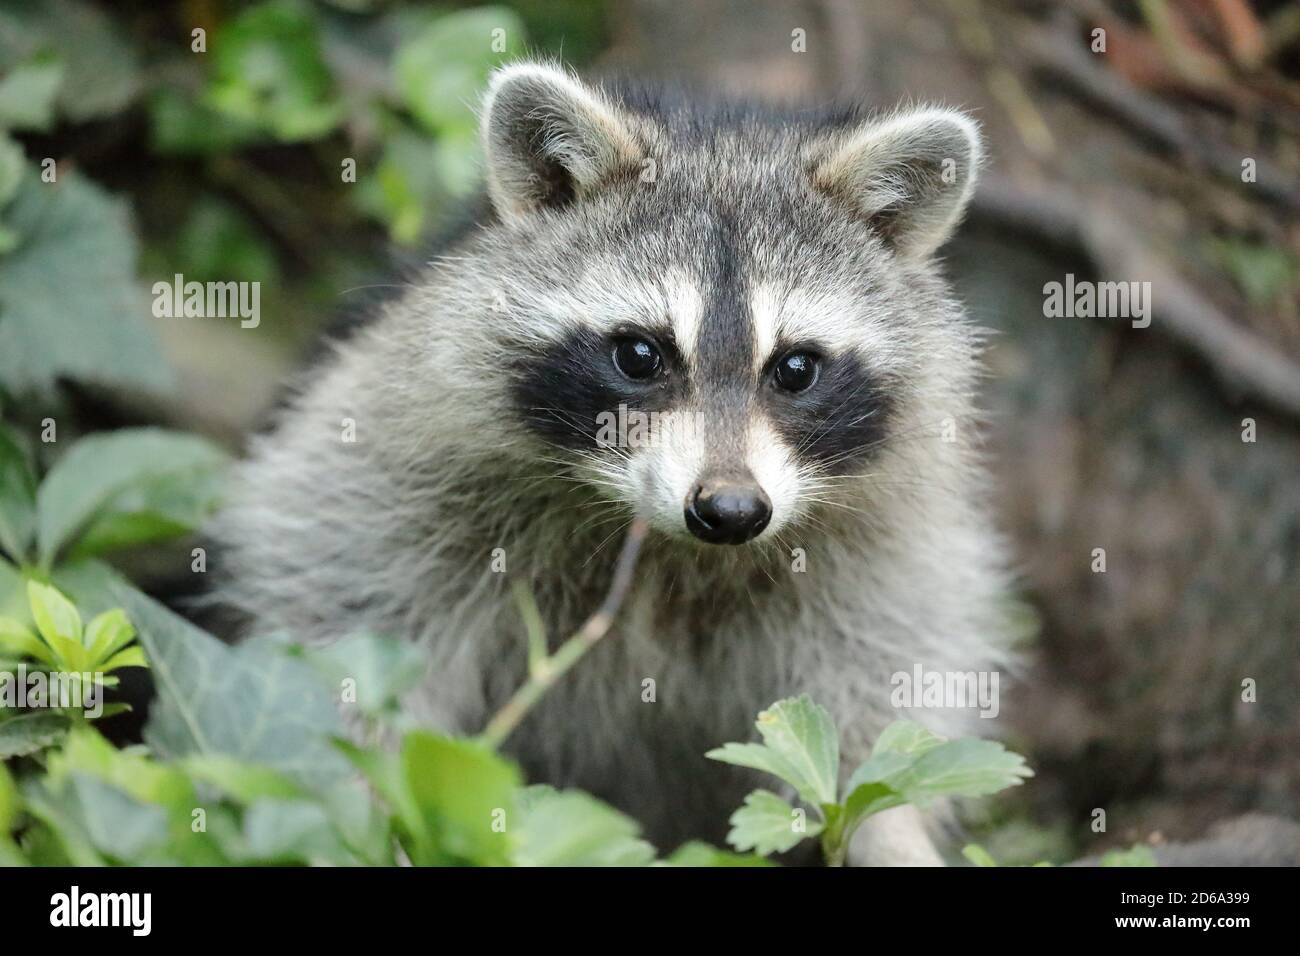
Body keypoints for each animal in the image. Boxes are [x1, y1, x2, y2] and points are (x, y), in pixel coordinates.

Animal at [209, 62, 1013, 864]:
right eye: (639, 354)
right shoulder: (397, 472)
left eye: (795, 369)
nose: (730, 511)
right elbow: (354, 629)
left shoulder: (880, 545)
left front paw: (892, 830)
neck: (664, 548)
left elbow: (880, 696)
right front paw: (362, 812)